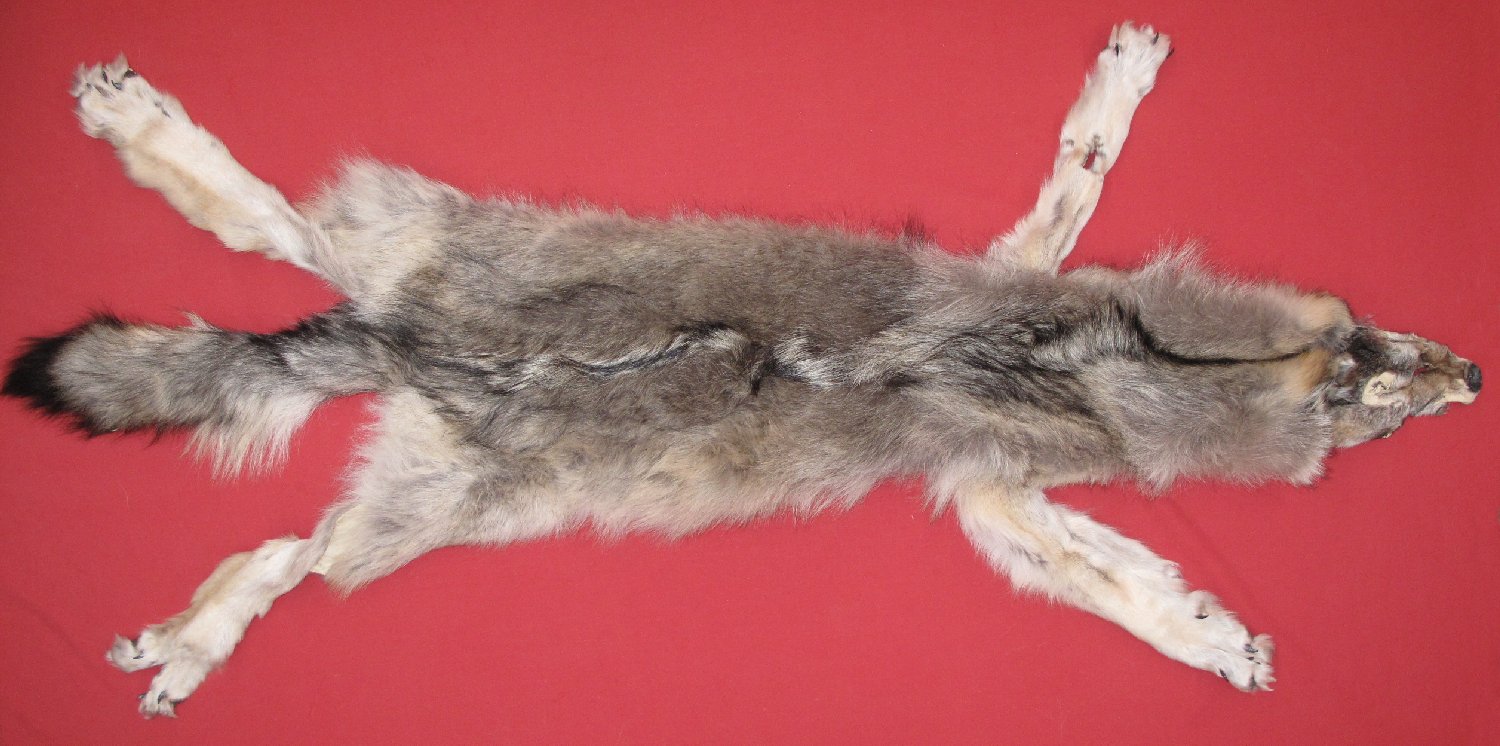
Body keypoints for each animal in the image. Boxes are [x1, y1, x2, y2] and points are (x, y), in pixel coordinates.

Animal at [2, 23, 1481, 717]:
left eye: (1384, 350)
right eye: (1380, 400)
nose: (1471, 372)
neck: (1077, 356)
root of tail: (396, 346)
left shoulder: (1006, 443)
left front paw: (1208, 628)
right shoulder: (1003, 462)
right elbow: (1115, 577)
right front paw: (1213, 636)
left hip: (420, 454)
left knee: (288, 491)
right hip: (425, 301)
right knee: (282, 408)